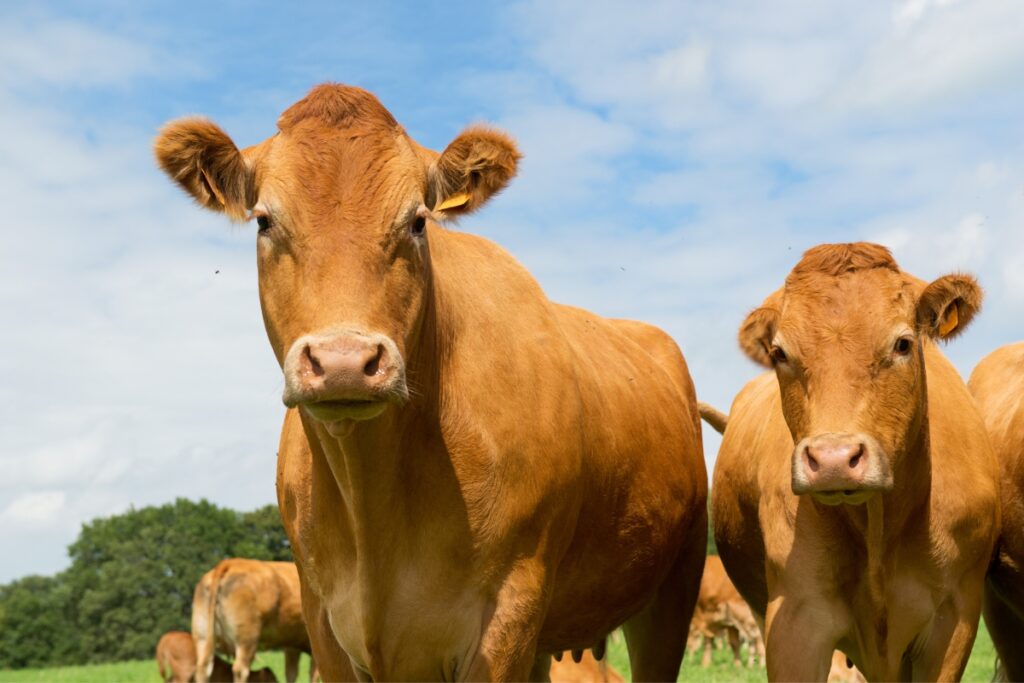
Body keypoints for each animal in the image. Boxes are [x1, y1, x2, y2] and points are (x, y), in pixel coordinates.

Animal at [155, 82, 708, 681]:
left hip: (673, 588)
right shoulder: (323, 620)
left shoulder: (509, 615)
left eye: (418, 222)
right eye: (263, 221)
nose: (345, 360)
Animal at [707, 242, 999, 680]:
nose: (834, 460)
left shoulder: (955, 618)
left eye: (902, 344)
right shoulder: (795, 618)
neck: (879, 525)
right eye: (779, 353)